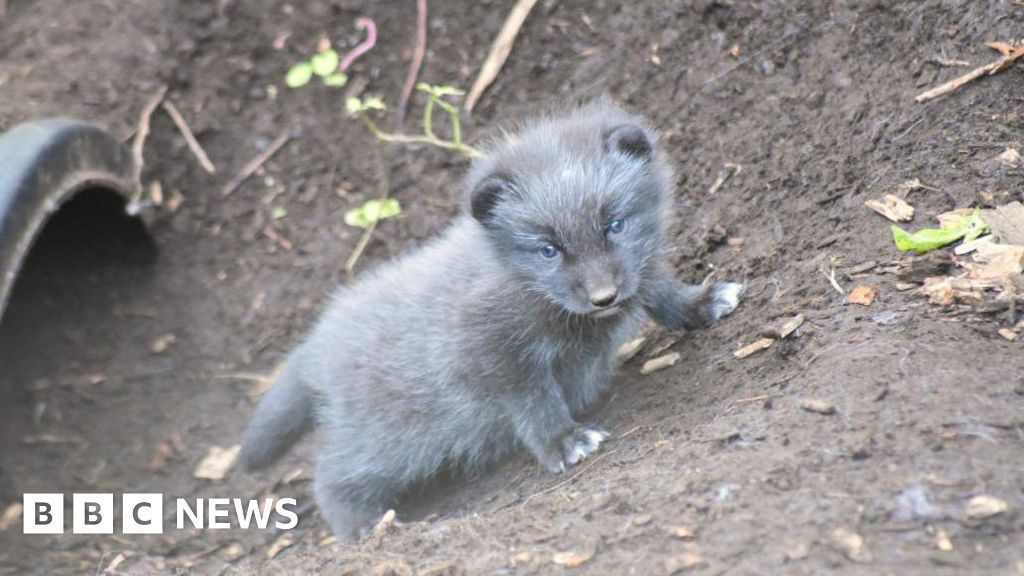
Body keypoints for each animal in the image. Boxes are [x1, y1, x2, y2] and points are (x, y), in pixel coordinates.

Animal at [239, 102, 743, 540]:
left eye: (614, 225)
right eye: (548, 249)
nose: (604, 298)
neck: (525, 285)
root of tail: (315, 345)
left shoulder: (640, 271)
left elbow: (661, 293)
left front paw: (702, 303)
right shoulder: (494, 356)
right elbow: (536, 403)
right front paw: (564, 441)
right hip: (388, 440)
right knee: (329, 476)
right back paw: (365, 528)